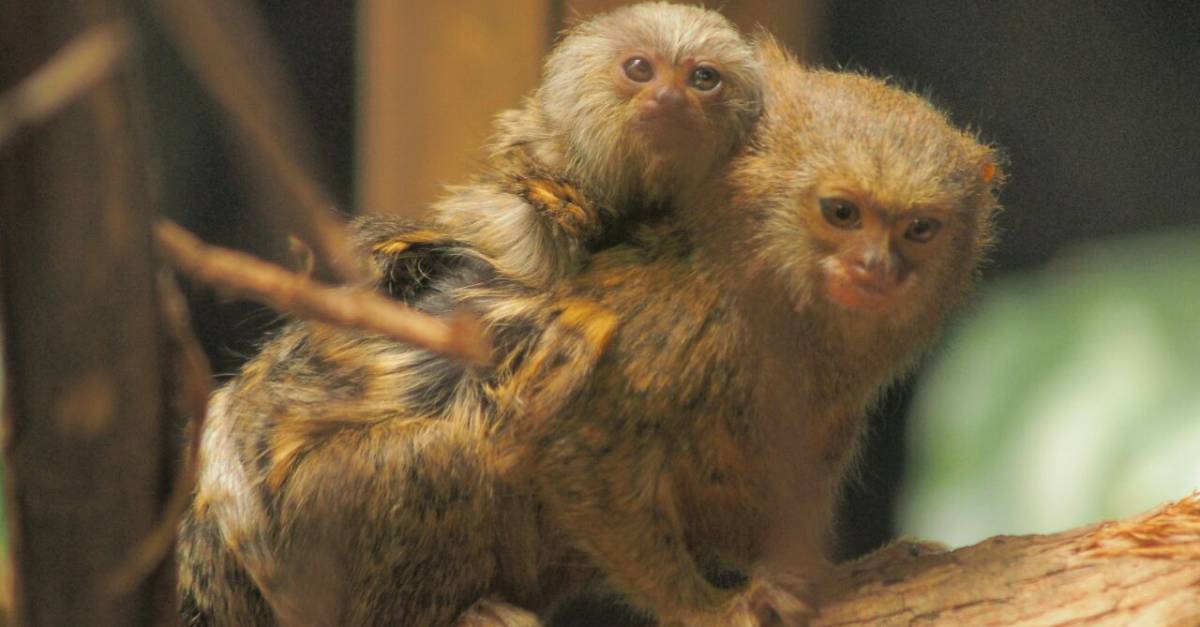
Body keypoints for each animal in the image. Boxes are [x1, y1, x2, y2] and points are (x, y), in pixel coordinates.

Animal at [176, 37, 1003, 626]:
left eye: (919, 229)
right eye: (841, 212)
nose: (877, 267)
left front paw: (837, 574)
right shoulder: (668, 328)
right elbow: (573, 446)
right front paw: (707, 608)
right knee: (436, 457)